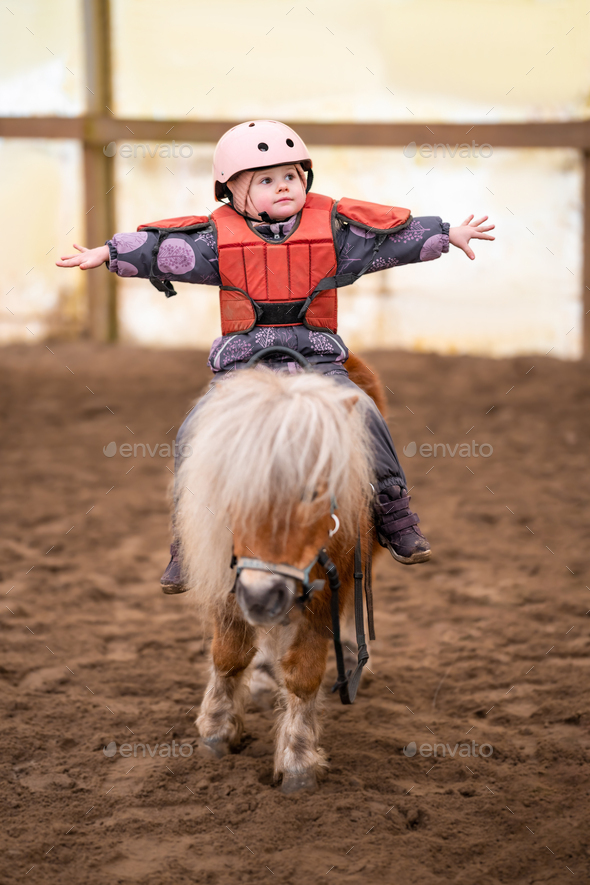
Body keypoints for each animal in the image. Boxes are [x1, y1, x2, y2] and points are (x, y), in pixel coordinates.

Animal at [175, 353, 385, 794]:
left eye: (315, 492)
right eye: (236, 488)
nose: (262, 596)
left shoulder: (328, 588)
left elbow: (304, 674)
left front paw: (298, 760)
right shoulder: (228, 579)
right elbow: (228, 655)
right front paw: (216, 730)